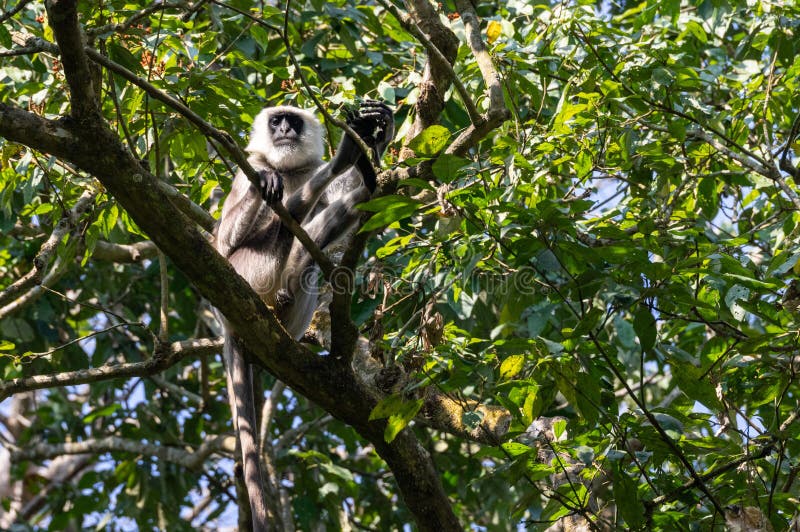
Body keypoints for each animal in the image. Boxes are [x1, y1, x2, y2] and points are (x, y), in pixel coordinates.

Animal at [214, 100, 393, 530]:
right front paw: (345, 155)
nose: (283, 130)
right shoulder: (248, 167)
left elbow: (358, 201)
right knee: (279, 227)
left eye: (292, 121)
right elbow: (223, 241)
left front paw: (375, 140)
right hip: (247, 273)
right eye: (276, 120)